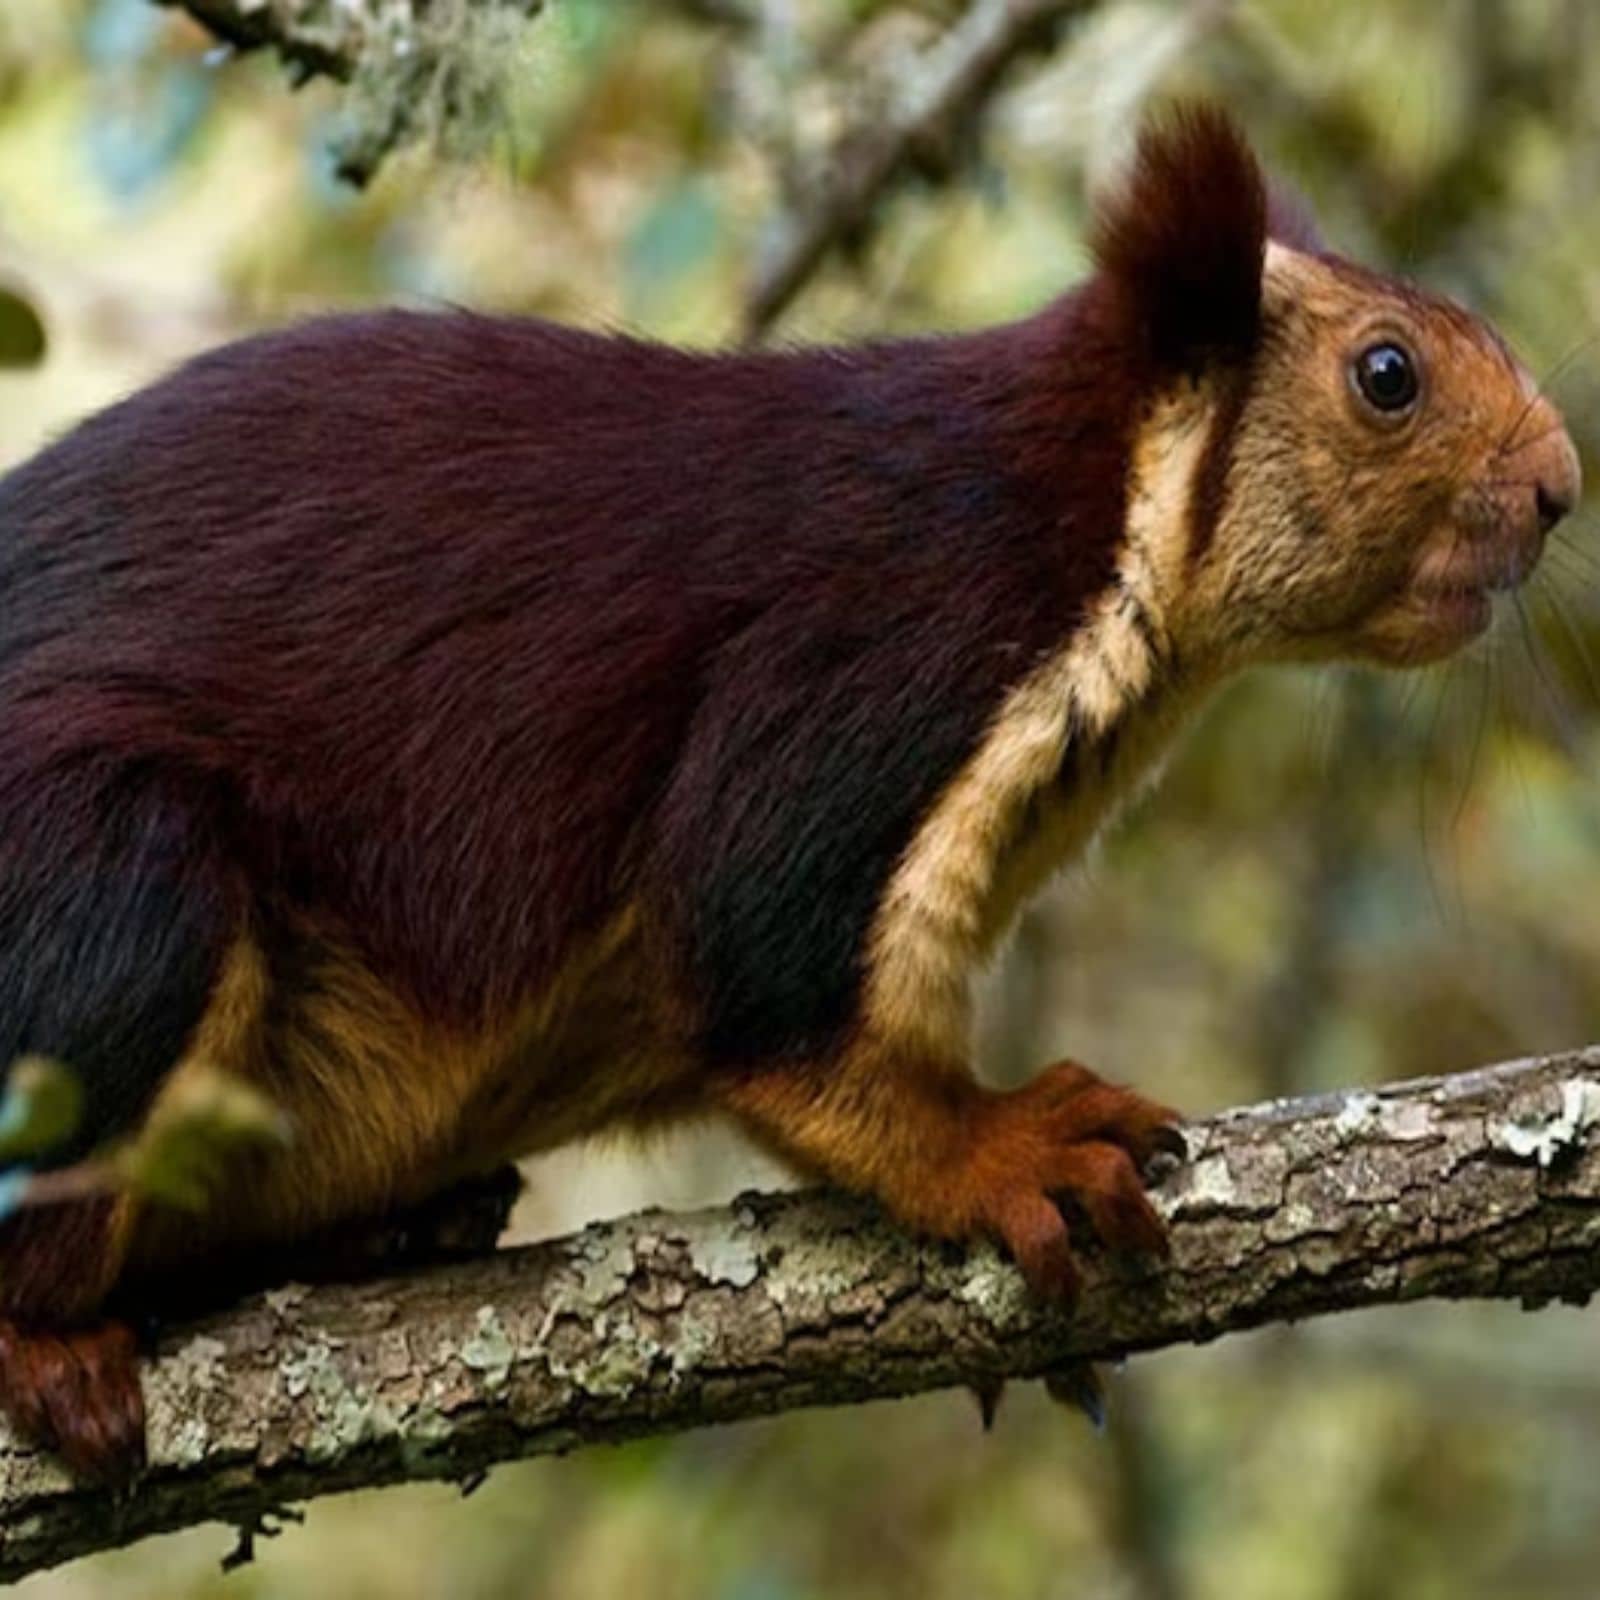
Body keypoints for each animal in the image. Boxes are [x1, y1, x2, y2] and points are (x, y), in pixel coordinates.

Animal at [0, 105, 1580, 1481]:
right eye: (1388, 374)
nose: (1563, 484)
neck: (1098, 498)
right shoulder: (883, 643)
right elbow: (762, 968)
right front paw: (1003, 1142)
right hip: (110, 887)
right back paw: (50, 1345)